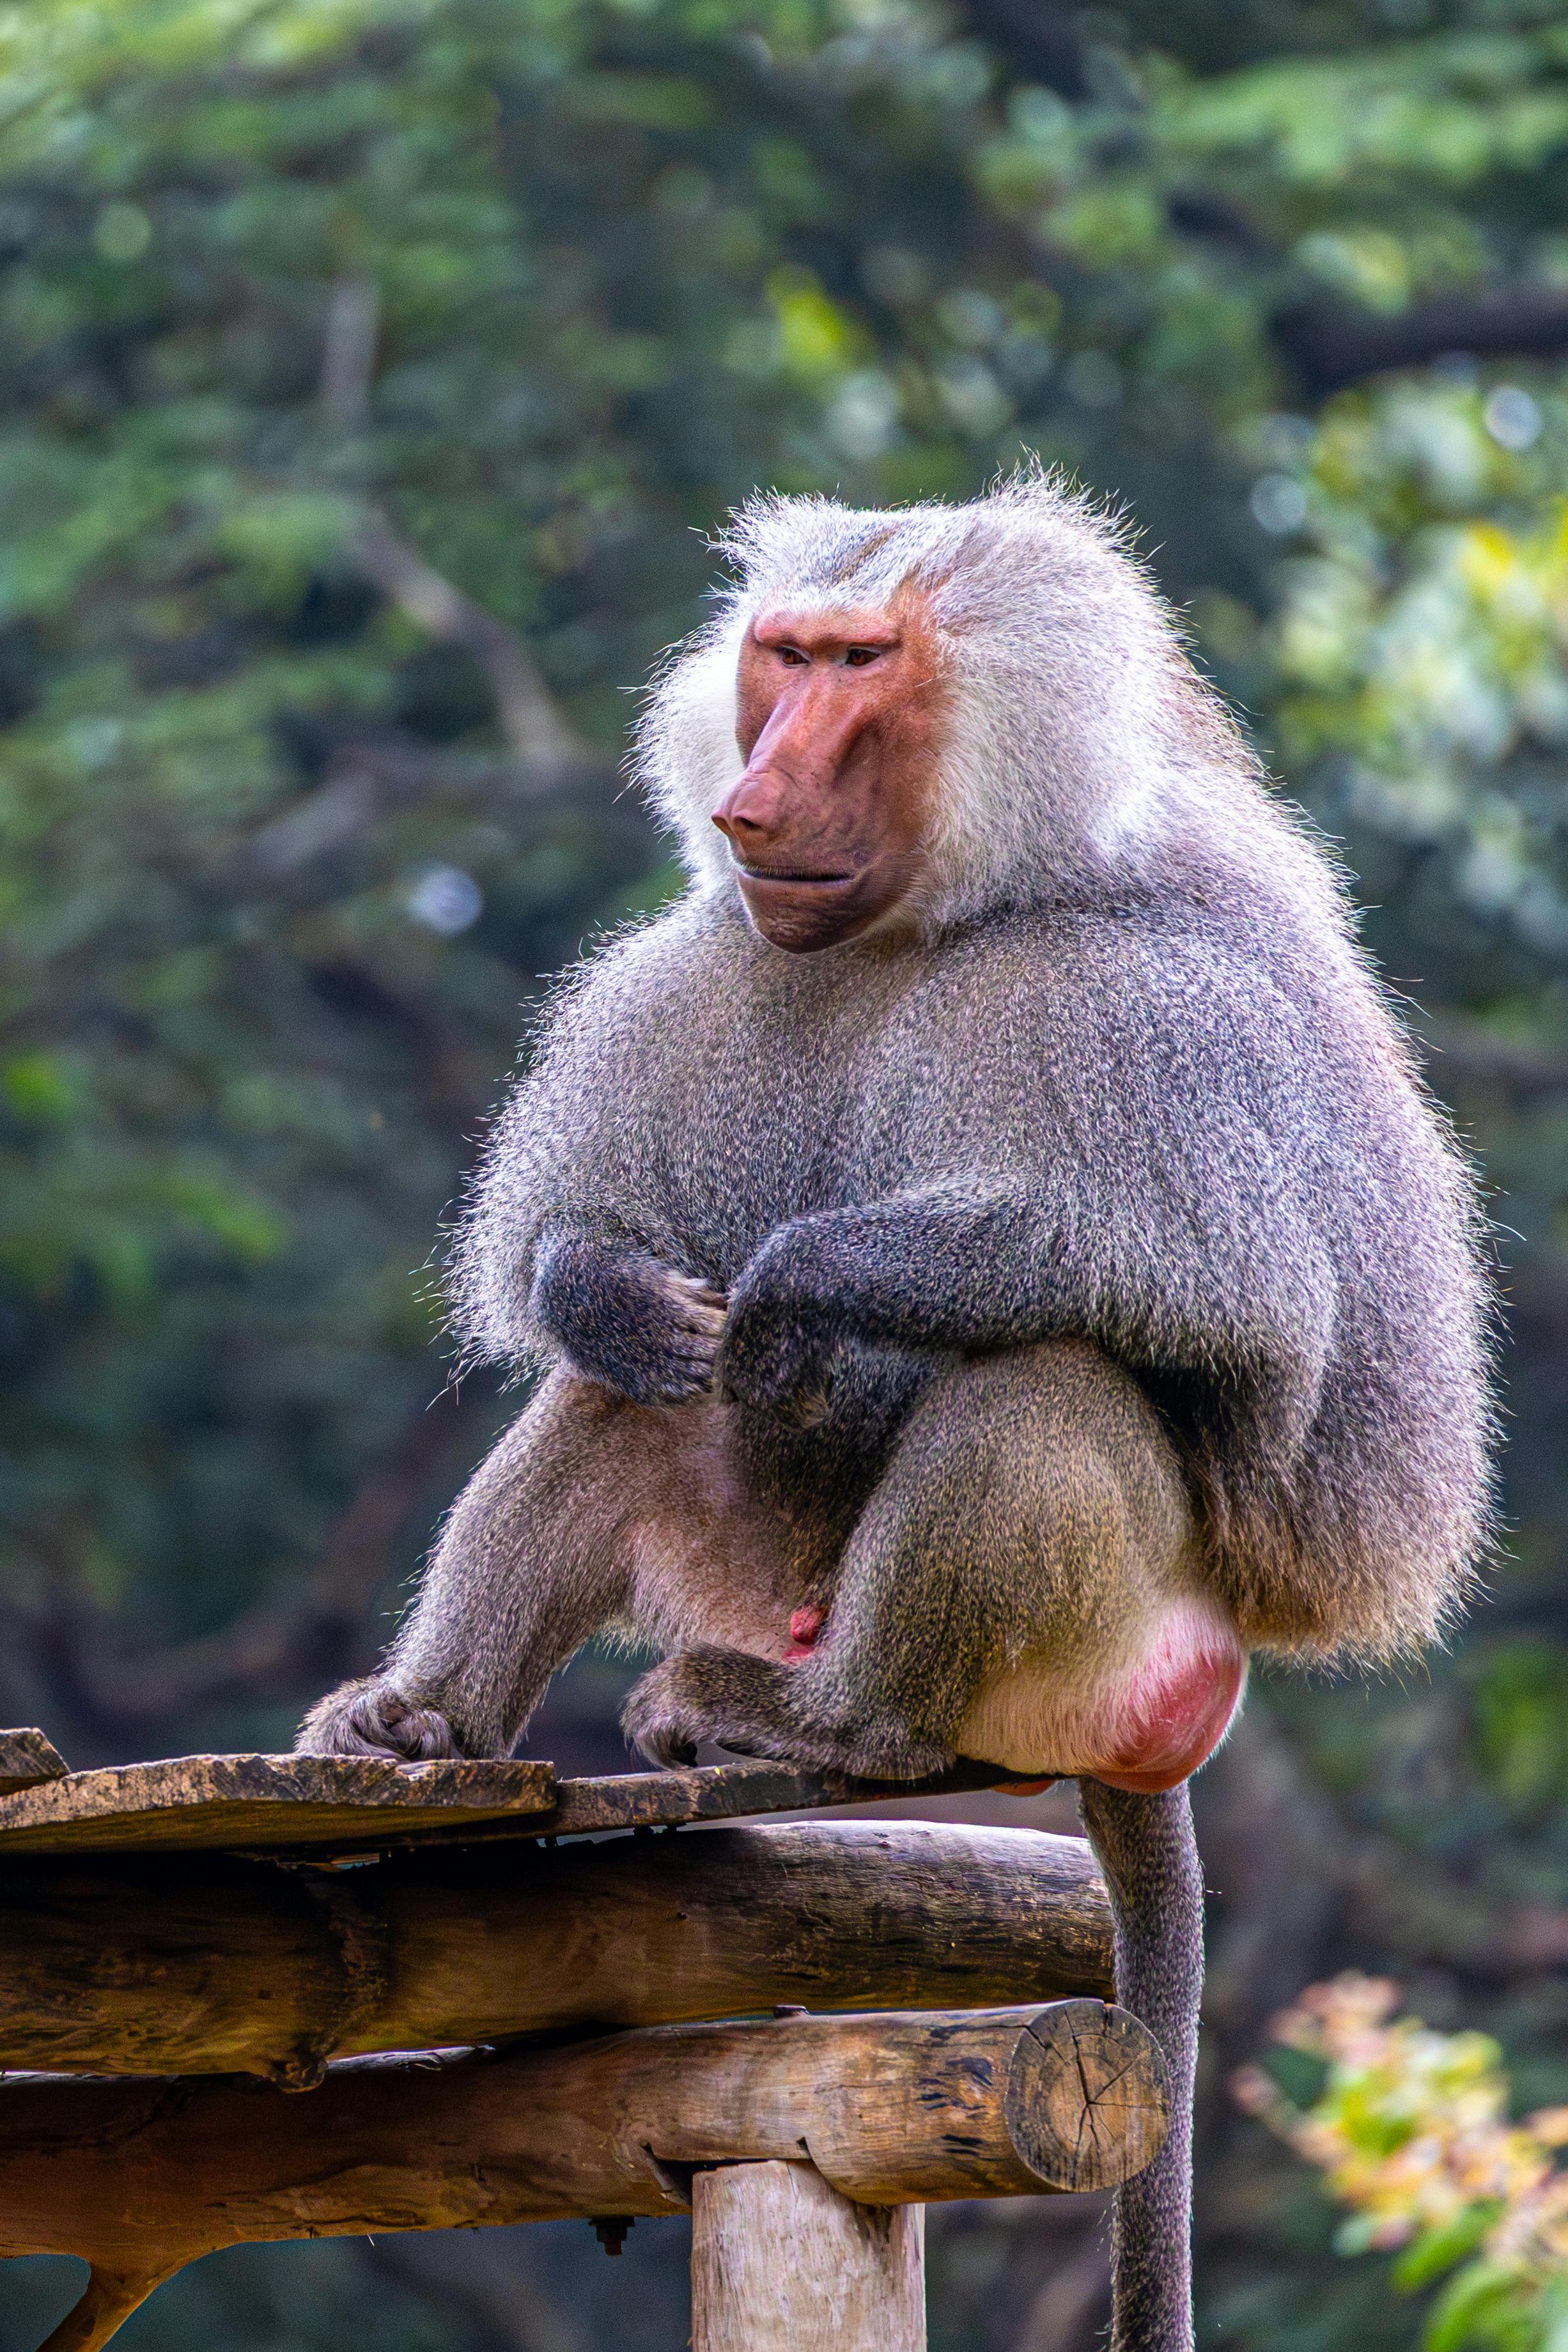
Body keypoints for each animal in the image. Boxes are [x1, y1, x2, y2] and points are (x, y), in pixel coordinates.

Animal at [299, 471, 1493, 2351]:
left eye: (861, 667)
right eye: (783, 657)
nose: (748, 797)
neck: (930, 912)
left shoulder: (1154, 1005)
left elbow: (1212, 1295)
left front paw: (800, 1286)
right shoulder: (707, 967)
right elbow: (590, 1274)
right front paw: (613, 1287)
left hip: (1075, 1648)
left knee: (1044, 1379)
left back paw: (827, 1720)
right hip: (756, 1557)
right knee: (624, 1405)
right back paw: (422, 1727)